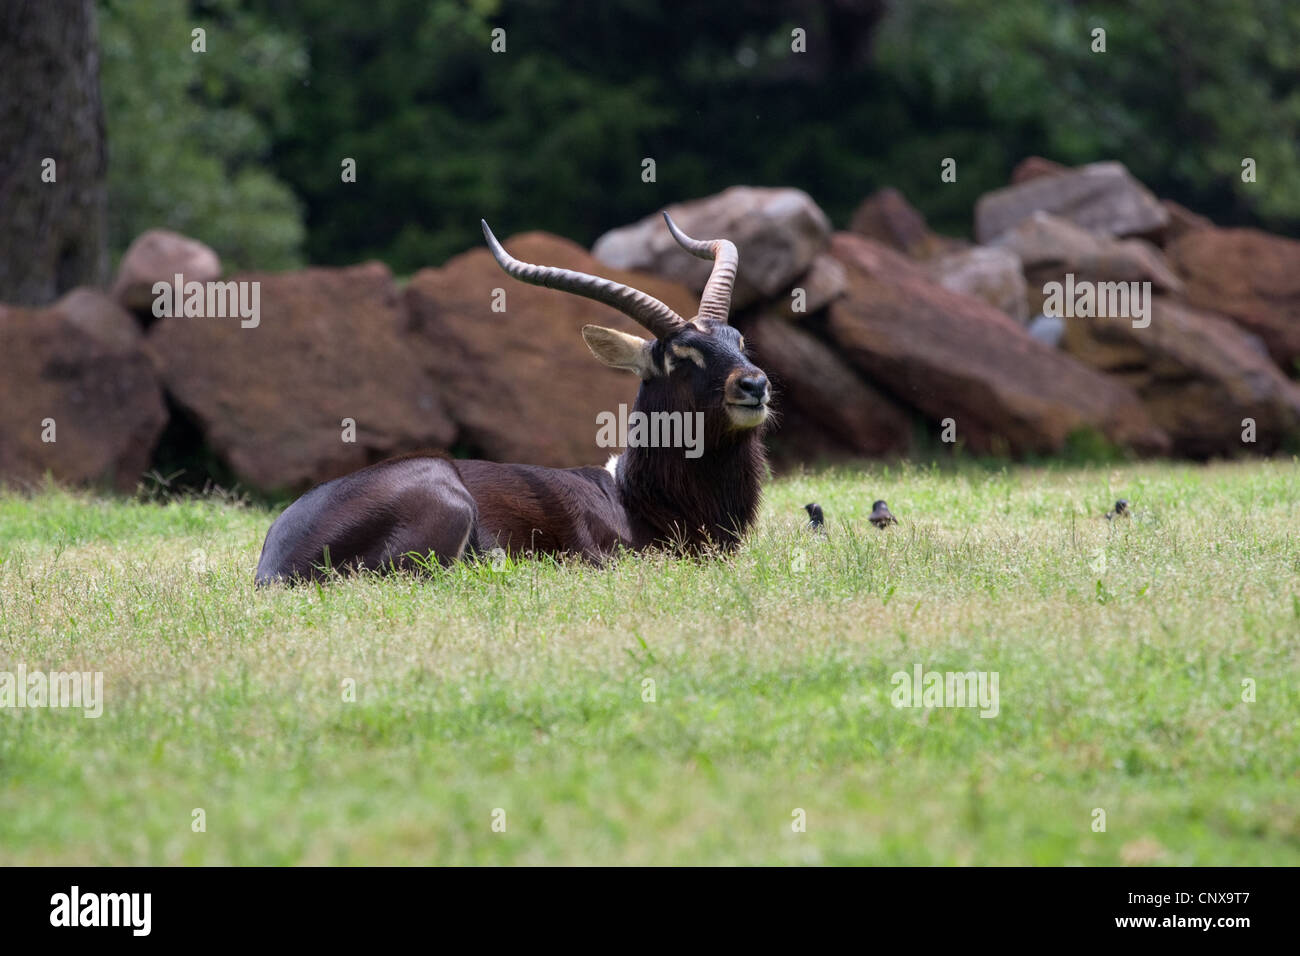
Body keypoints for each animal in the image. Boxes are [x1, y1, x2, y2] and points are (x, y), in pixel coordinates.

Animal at [255, 213, 771, 584]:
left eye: (737, 339)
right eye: (681, 355)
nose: (754, 385)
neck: (634, 497)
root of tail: (274, 565)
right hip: (443, 492)